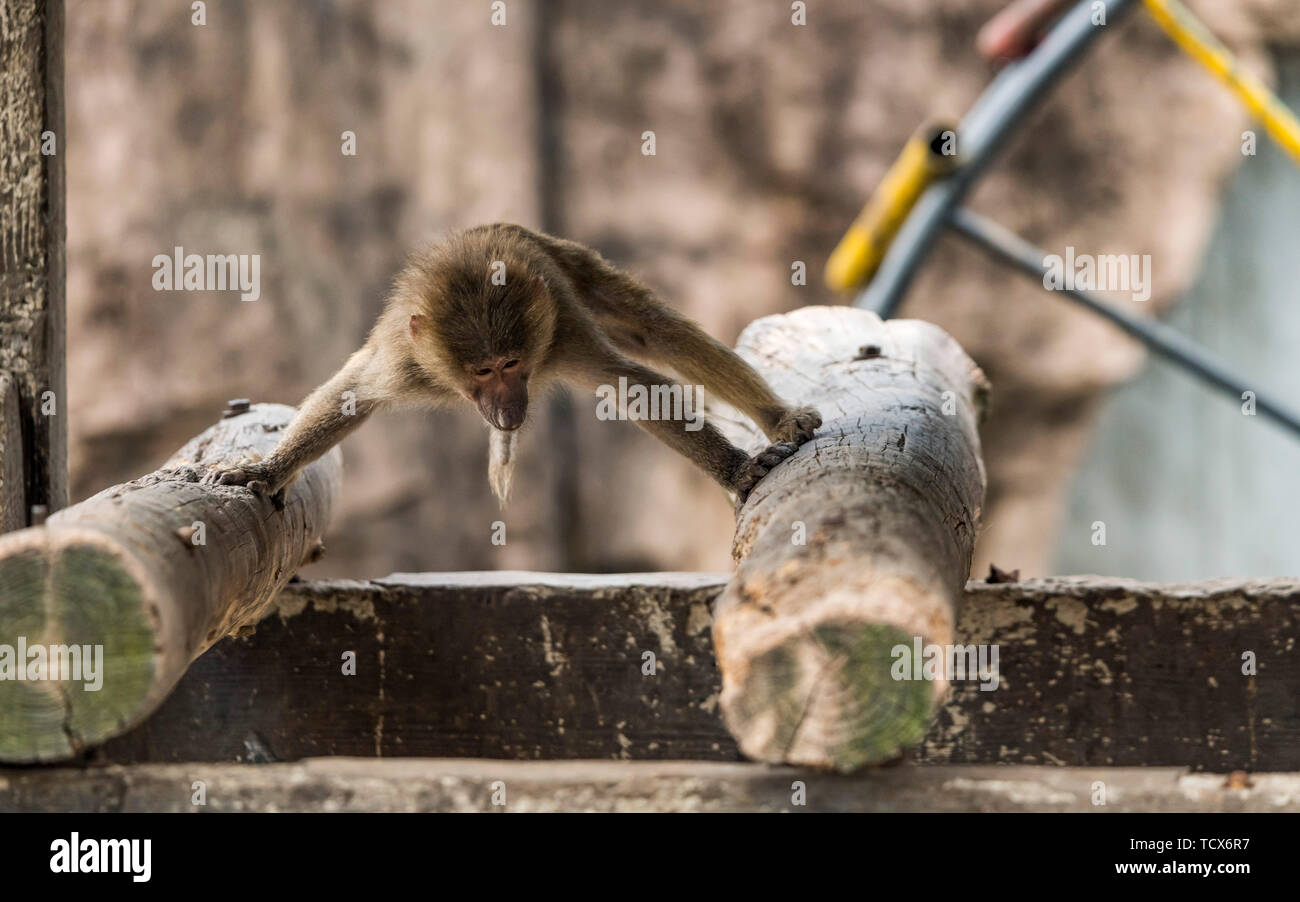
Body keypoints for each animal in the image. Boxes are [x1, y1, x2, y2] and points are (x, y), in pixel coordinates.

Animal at [210, 224, 821, 509]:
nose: (508, 411)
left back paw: (779, 419)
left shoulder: (558, 337)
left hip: (569, 265)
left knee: (657, 330)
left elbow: (634, 385)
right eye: (482, 372)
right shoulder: (406, 363)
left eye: (510, 363)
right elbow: (348, 396)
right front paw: (266, 471)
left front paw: (739, 471)